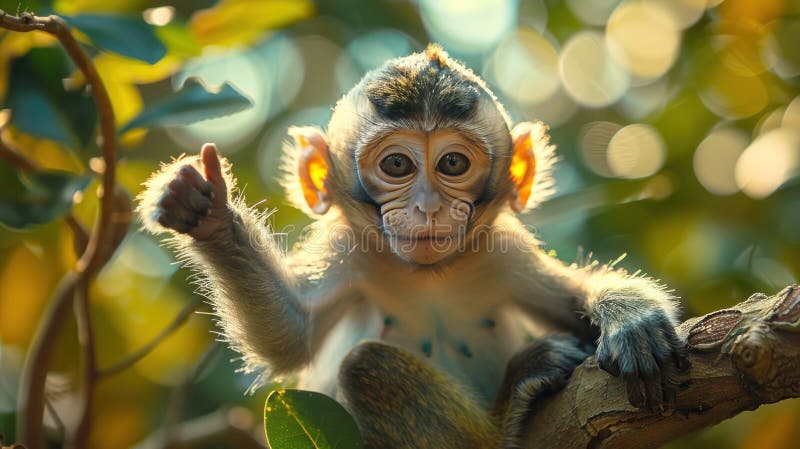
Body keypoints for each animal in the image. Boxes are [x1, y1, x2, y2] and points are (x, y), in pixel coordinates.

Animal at [137, 45, 689, 448]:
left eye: (452, 164)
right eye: (398, 165)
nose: (428, 207)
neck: (430, 276)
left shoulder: (501, 254)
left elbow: (571, 304)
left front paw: (629, 317)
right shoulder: (349, 252)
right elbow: (290, 335)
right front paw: (207, 214)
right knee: (362, 364)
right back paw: (505, 414)